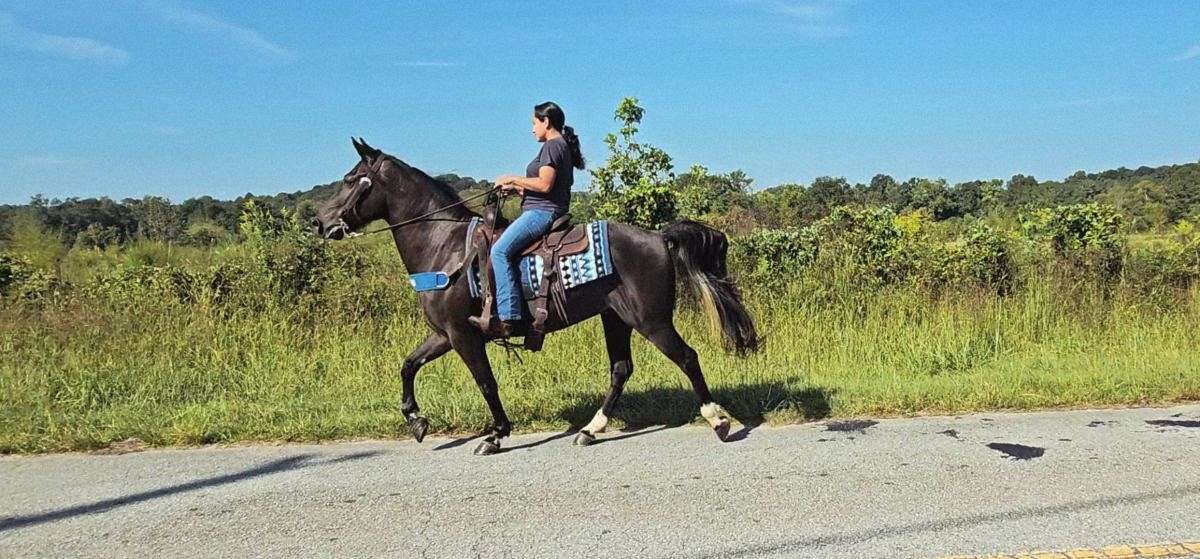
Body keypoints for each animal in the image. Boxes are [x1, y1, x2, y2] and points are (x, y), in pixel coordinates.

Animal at [313, 138, 761, 455]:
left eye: (352, 180)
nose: (319, 222)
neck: (446, 248)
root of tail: (658, 237)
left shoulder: (463, 335)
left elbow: (486, 383)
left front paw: (495, 435)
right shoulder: (443, 334)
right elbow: (408, 366)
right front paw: (416, 421)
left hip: (651, 320)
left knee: (687, 357)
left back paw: (718, 421)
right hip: (615, 318)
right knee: (621, 369)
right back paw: (590, 430)